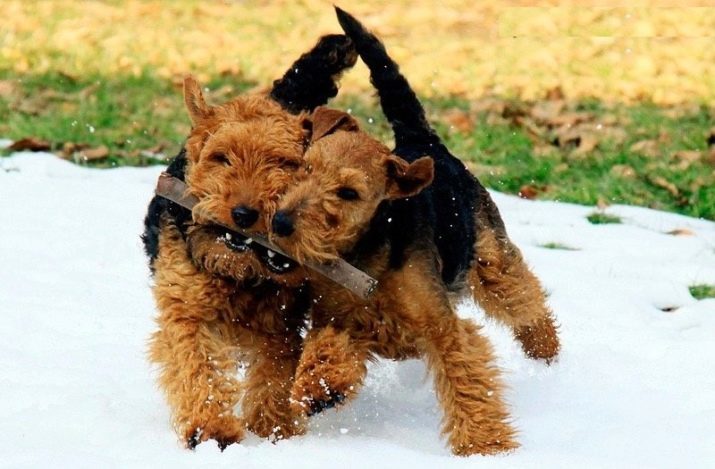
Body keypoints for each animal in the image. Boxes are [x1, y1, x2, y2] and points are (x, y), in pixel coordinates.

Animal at [142, 34, 358, 448]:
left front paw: (275, 428)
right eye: (222, 158)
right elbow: (198, 365)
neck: (239, 270)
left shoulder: (280, 324)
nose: (243, 214)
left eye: (284, 163)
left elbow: (274, 374)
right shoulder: (186, 309)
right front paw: (211, 428)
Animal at [266, 8, 564, 454]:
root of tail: (422, 141)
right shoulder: (339, 320)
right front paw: (318, 389)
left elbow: (467, 384)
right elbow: (328, 348)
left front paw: (486, 446)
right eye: (305, 167)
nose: (281, 222)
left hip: (491, 260)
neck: (367, 255)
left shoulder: (444, 328)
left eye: (349, 192)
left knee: (526, 299)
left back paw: (545, 350)